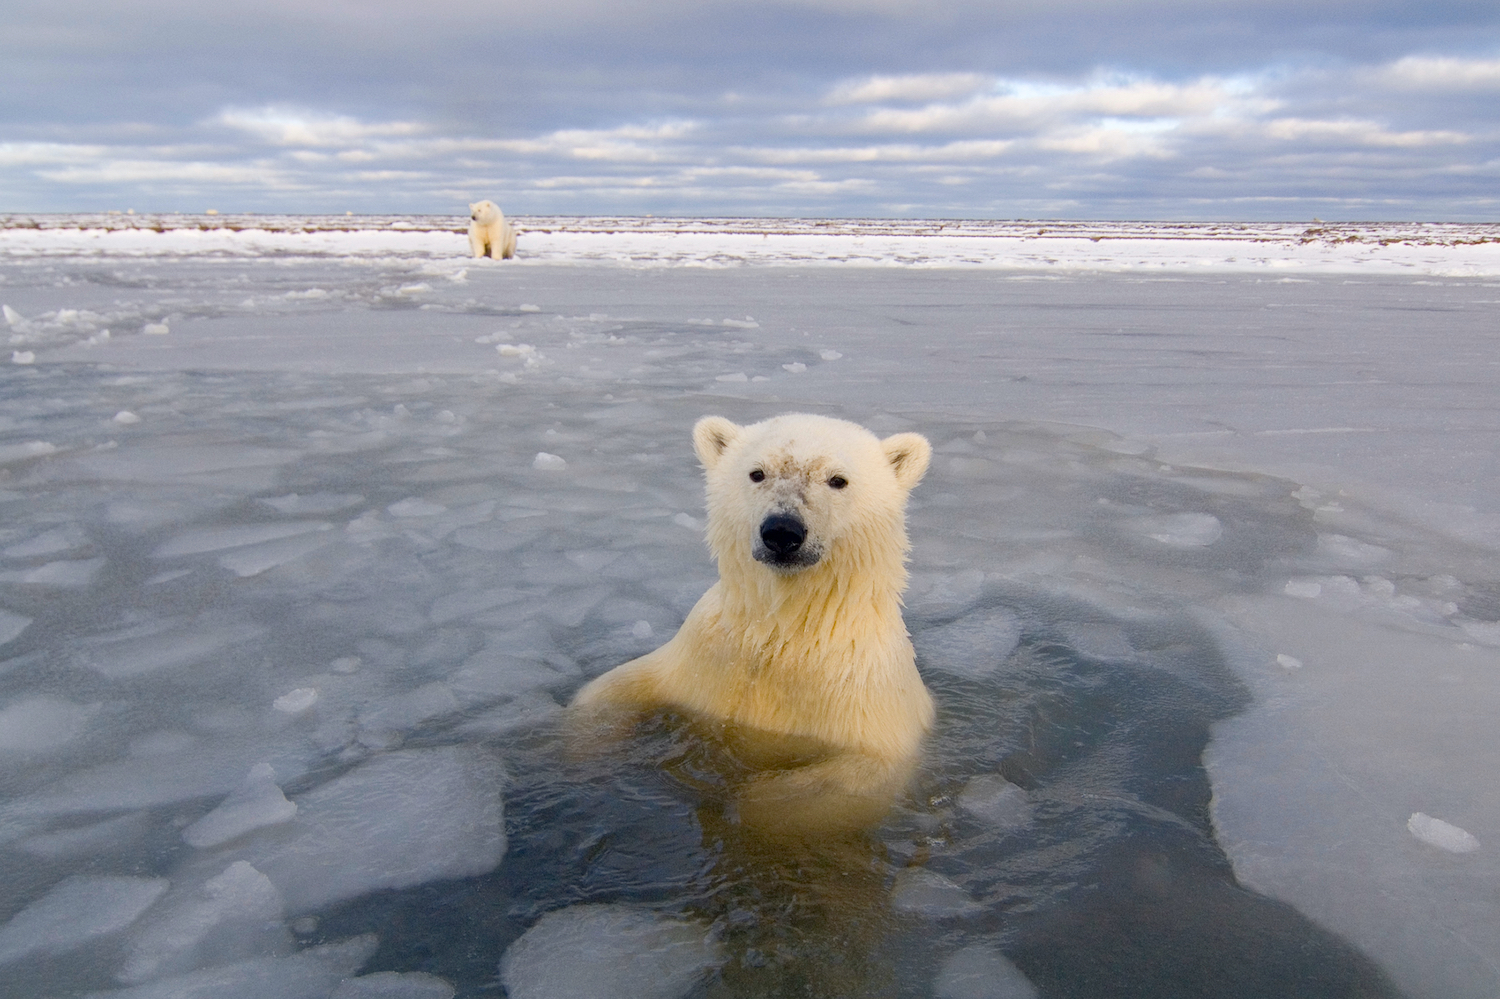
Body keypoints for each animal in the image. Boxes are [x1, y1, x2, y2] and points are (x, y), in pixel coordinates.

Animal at [570, 413, 935, 835]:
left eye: (838, 480)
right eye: (757, 473)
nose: (782, 532)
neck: (782, 629)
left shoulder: (862, 698)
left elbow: (851, 779)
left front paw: (739, 800)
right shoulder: (705, 656)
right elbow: (615, 689)